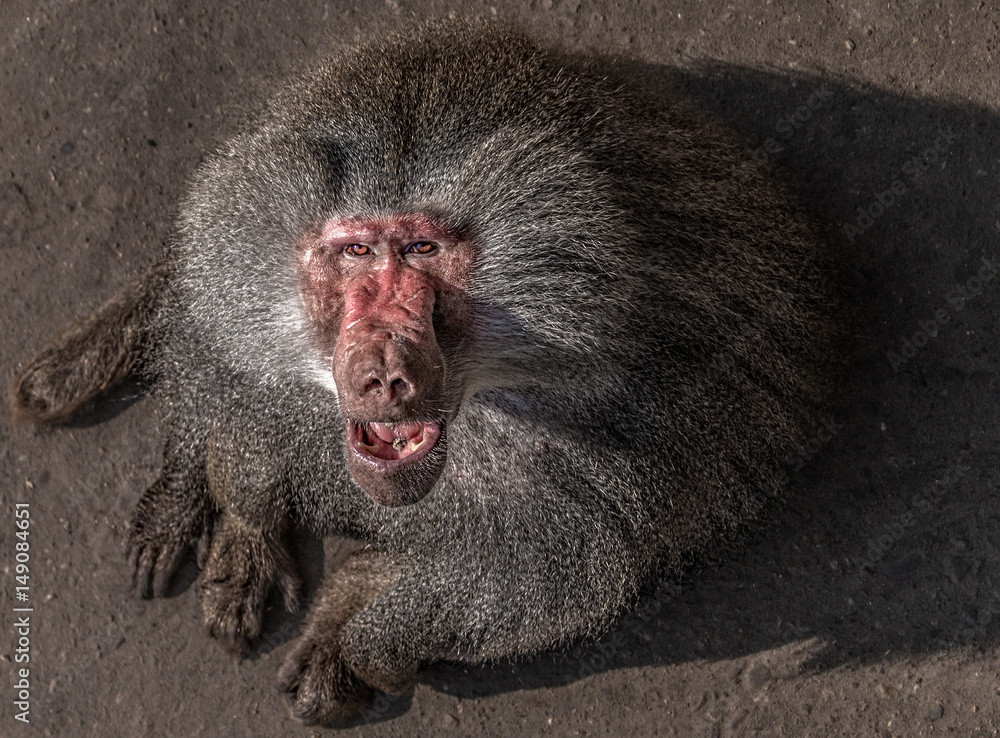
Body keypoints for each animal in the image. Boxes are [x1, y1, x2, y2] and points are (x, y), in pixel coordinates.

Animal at [10, 20, 837, 727]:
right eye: (352, 253)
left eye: (422, 252)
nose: (381, 371)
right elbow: (225, 373)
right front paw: (233, 515)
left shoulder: (600, 460)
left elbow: (542, 578)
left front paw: (355, 627)